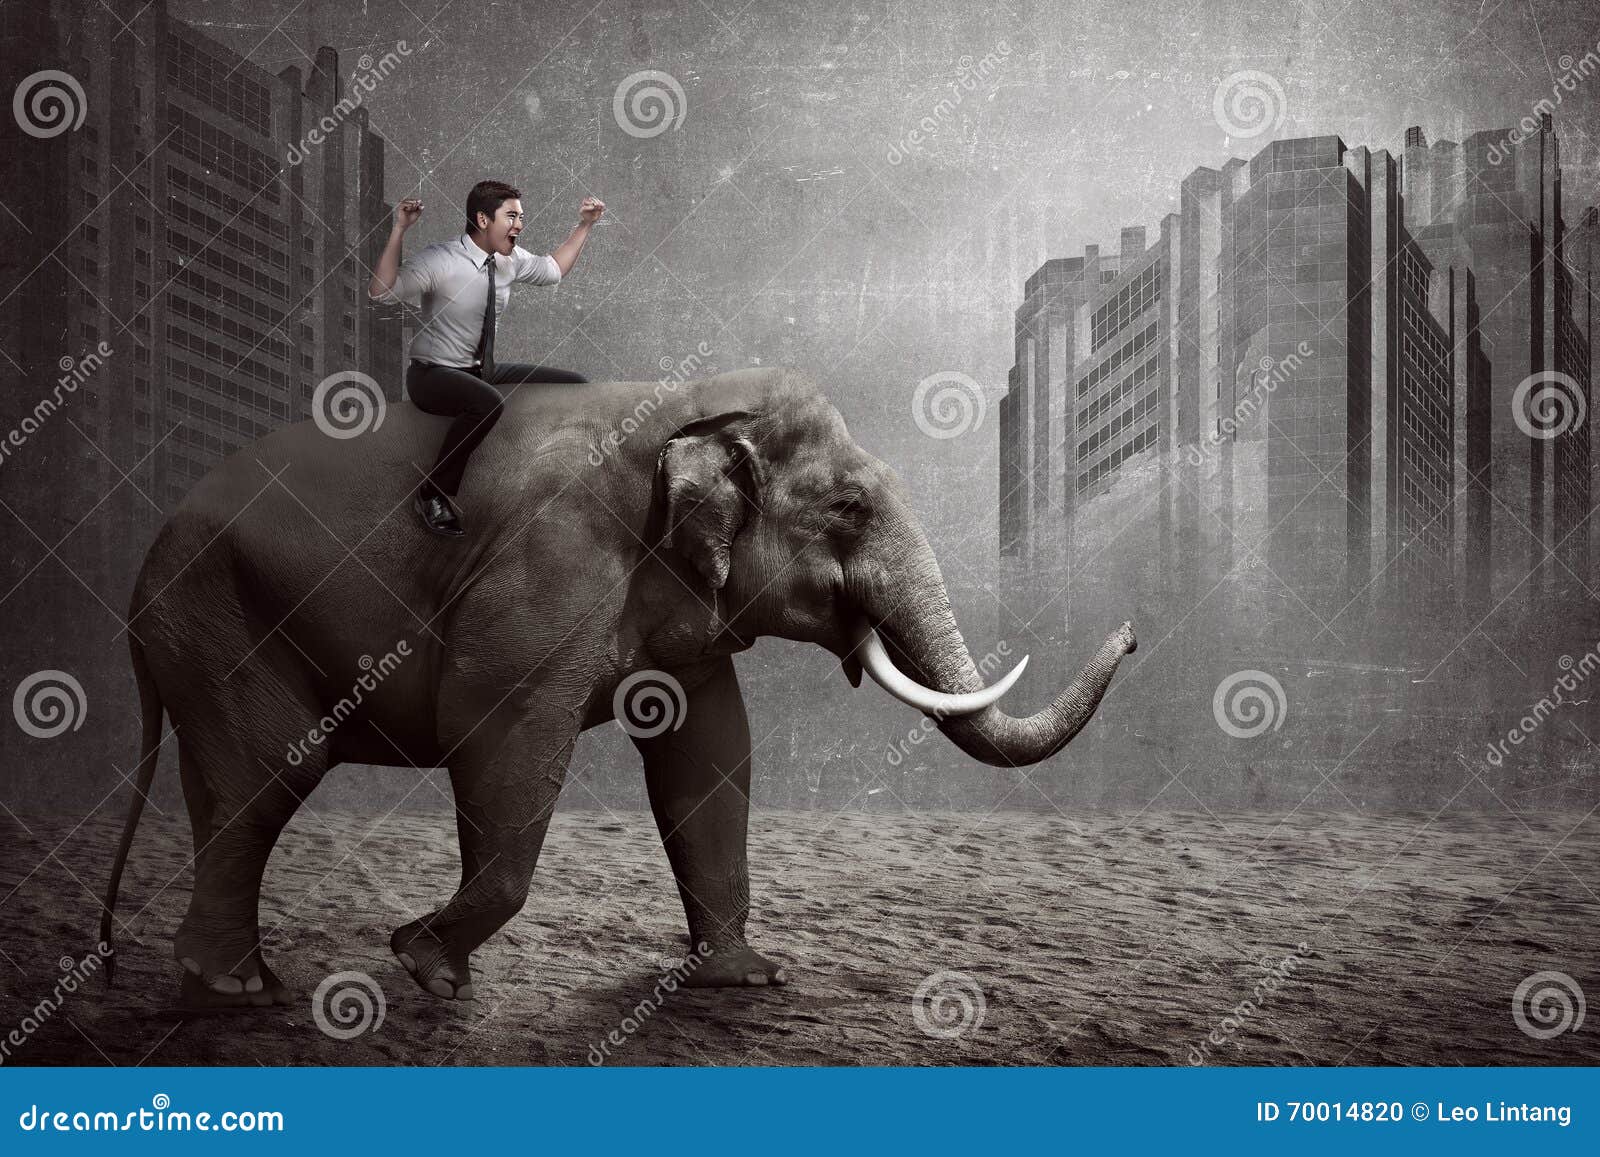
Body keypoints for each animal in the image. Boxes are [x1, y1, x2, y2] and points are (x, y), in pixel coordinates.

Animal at [100, 366, 1136, 1009]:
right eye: (847, 508)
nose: (1131, 633)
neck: (685, 405)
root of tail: (141, 567)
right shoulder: (546, 565)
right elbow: (497, 727)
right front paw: (428, 967)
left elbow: (711, 754)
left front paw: (747, 980)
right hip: (217, 609)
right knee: (274, 769)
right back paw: (238, 993)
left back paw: (238, 987)